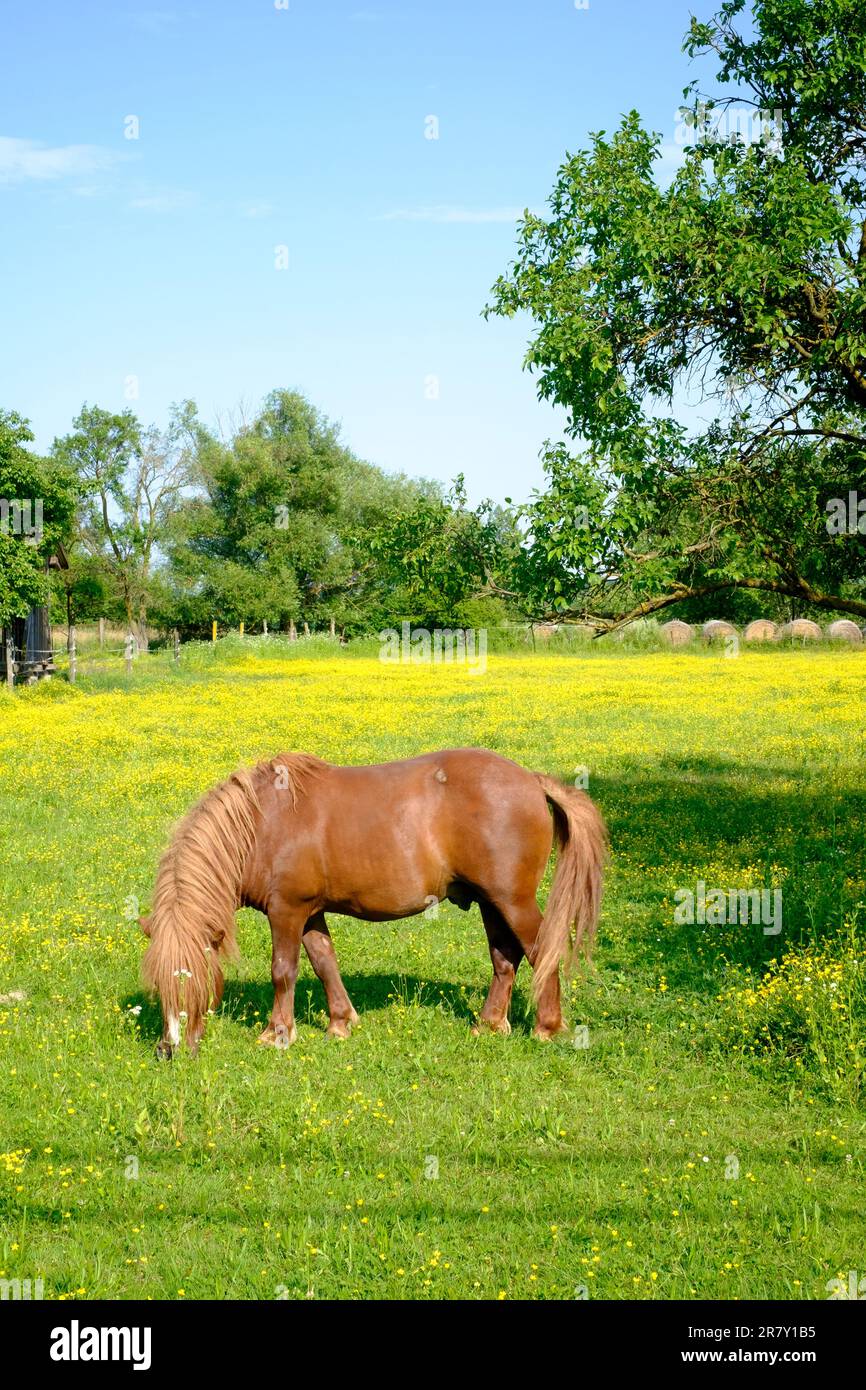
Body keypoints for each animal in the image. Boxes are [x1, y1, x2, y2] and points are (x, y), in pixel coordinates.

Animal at [139, 747, 607, 1057]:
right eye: (158, 982)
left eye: (192, 977)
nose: (169, 1049)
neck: (262, 824)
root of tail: (532, 780)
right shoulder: (311, 913)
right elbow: (324, 962)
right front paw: (340, 1023)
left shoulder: (287, 910)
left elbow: (283, 972)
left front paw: (277, 1033)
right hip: (491, 902)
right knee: (505, 958)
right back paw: (490, 1024)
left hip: (513, 900)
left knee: (540, 950)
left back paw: (546, 1027)